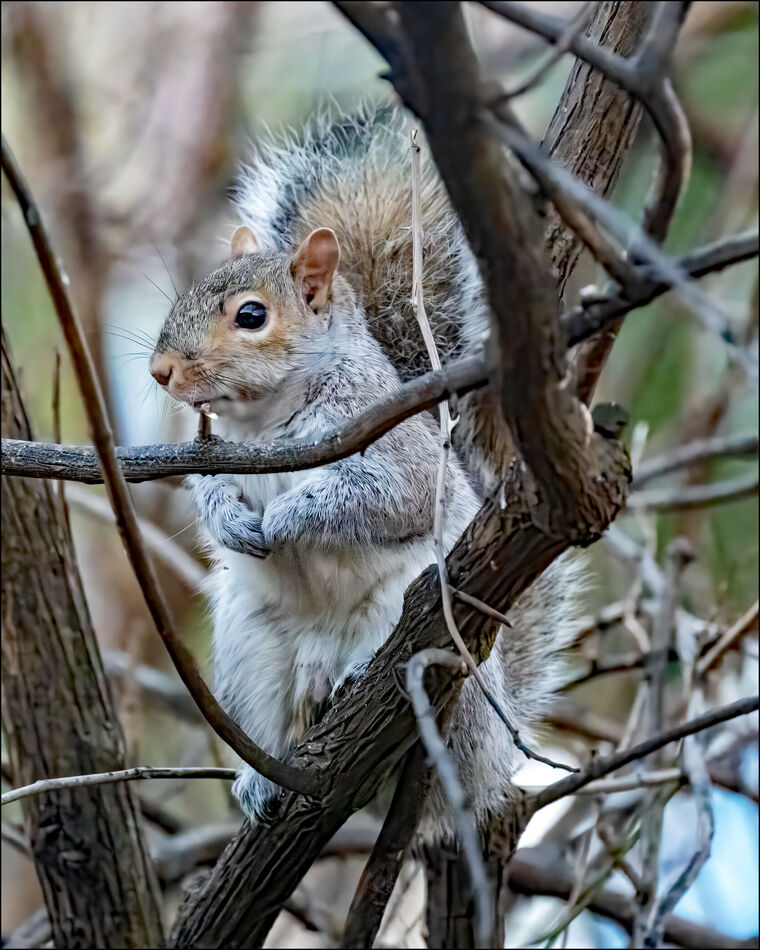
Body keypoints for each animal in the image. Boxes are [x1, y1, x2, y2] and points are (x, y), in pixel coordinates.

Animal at [149, 106, 582, 836]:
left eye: (250, 316)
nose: (160, 372)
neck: (264, 419)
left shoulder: (389, 446)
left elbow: (384, 496)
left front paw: (289, 517)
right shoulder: (216, 457)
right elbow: (209, 496)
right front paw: (234, 522)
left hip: (426, 640)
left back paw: (360, 687)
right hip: (250, 647)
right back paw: (261, 781)